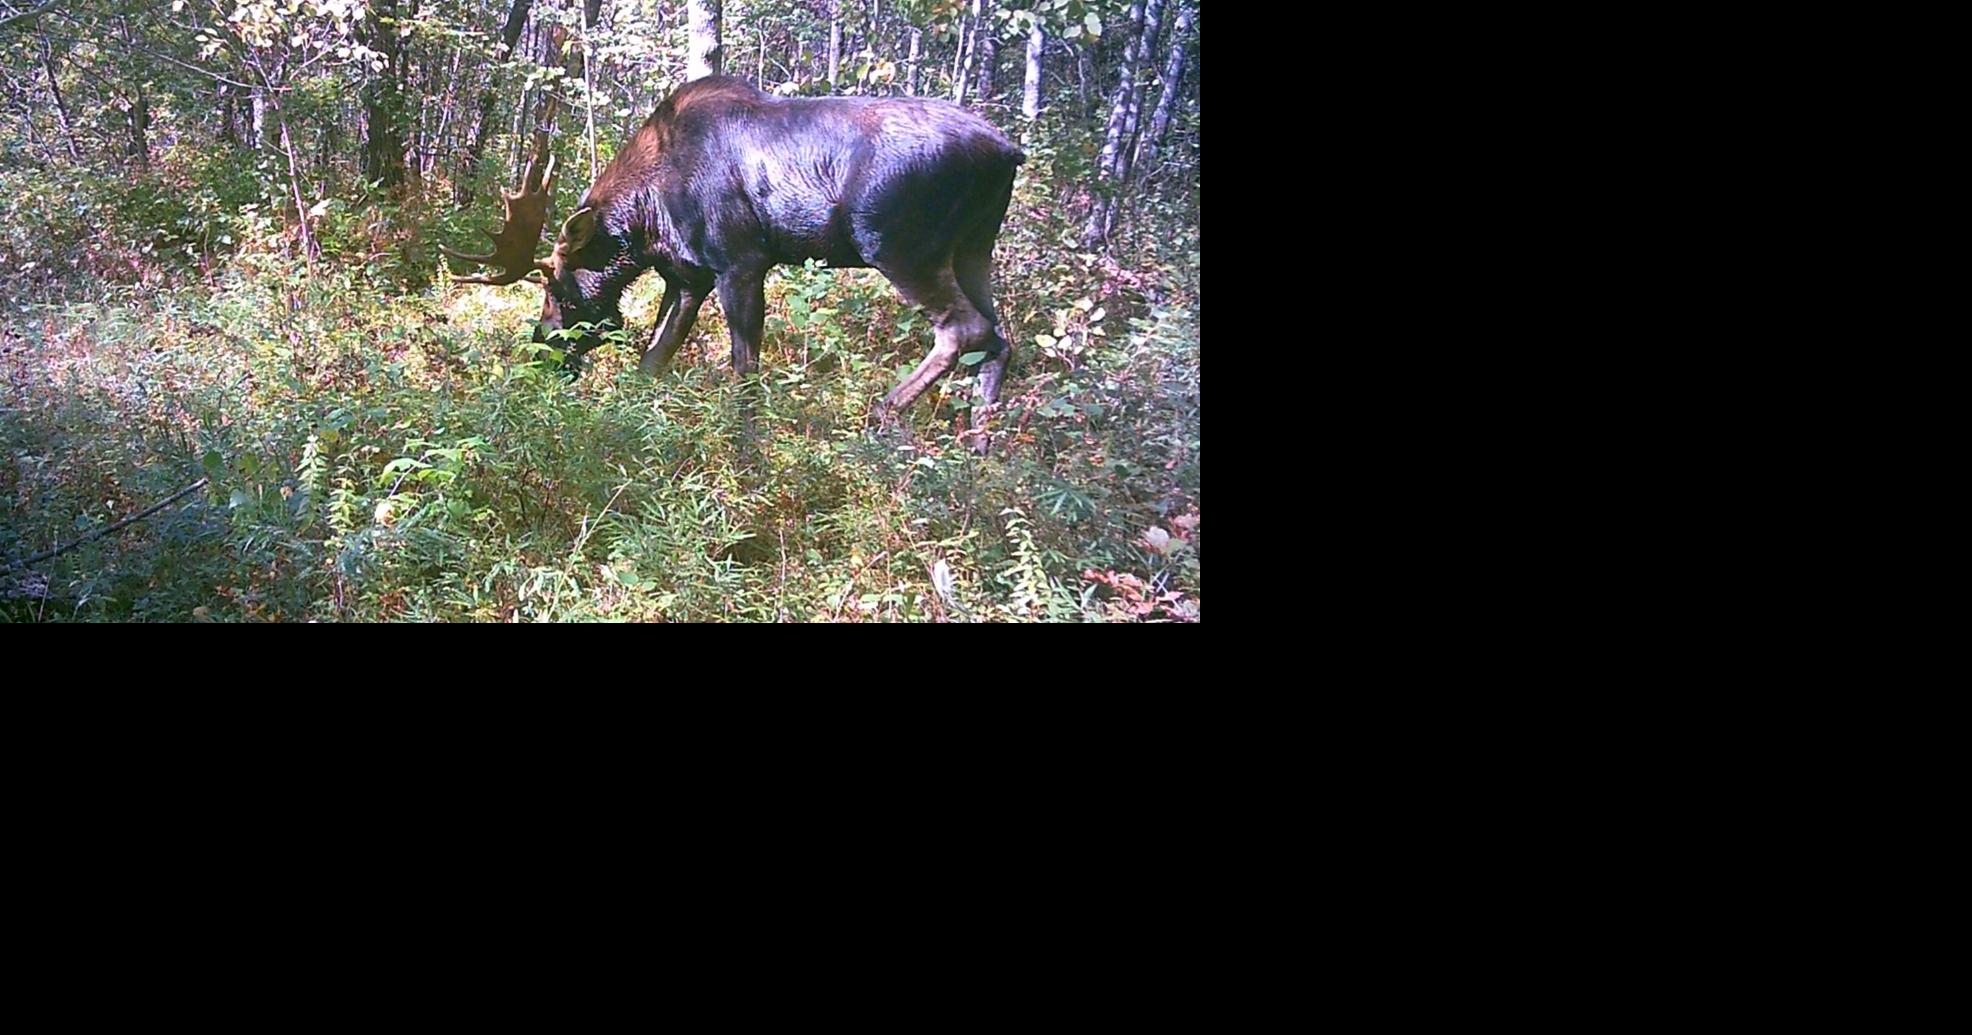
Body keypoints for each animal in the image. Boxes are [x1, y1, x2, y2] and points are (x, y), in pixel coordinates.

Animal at [444, 76, 1024, 453]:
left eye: (556, 289)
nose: (540, 350)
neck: (645, 219)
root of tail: (1008, 152)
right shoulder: (687, 277)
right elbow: (652, 362)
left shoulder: (740, 263)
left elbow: (744, 369)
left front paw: (744, 454)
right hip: (975, 247)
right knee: (1001, 339)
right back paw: (978, 455)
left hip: (898, 246)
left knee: (964, 329)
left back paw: (882, 414)